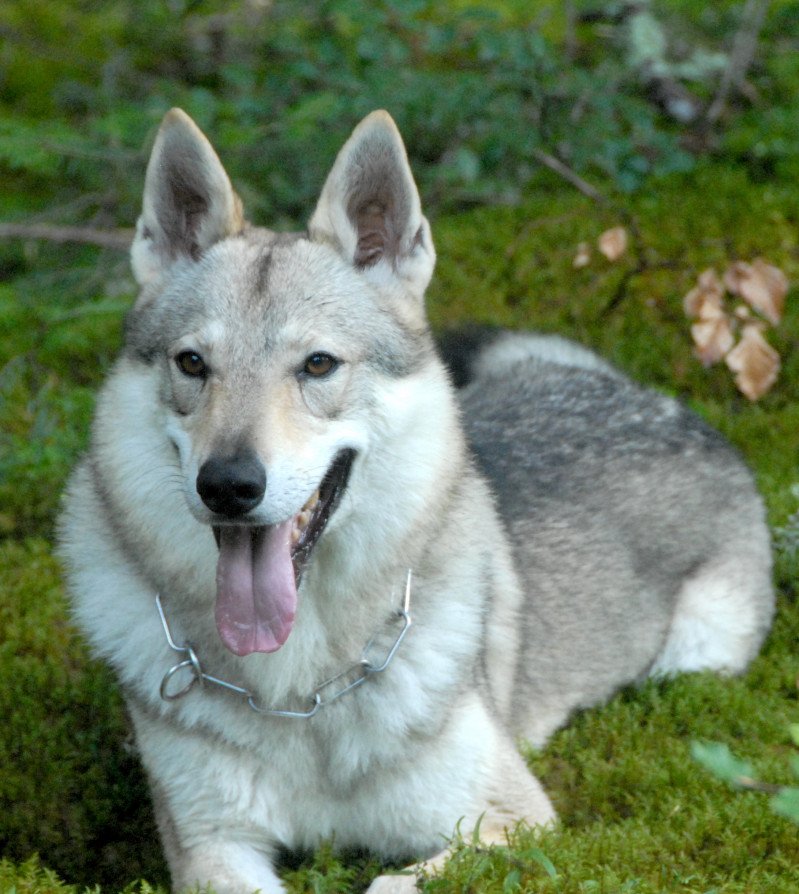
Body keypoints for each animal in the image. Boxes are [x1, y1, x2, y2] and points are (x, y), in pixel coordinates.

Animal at [59, 108, 774, 893]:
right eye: (192, 364)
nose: (228, 485)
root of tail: (642, 395)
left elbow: (385, 880)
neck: (301, 693)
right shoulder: (211, 847)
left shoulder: (515, 823)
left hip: (694, 658)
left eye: (318, 365)